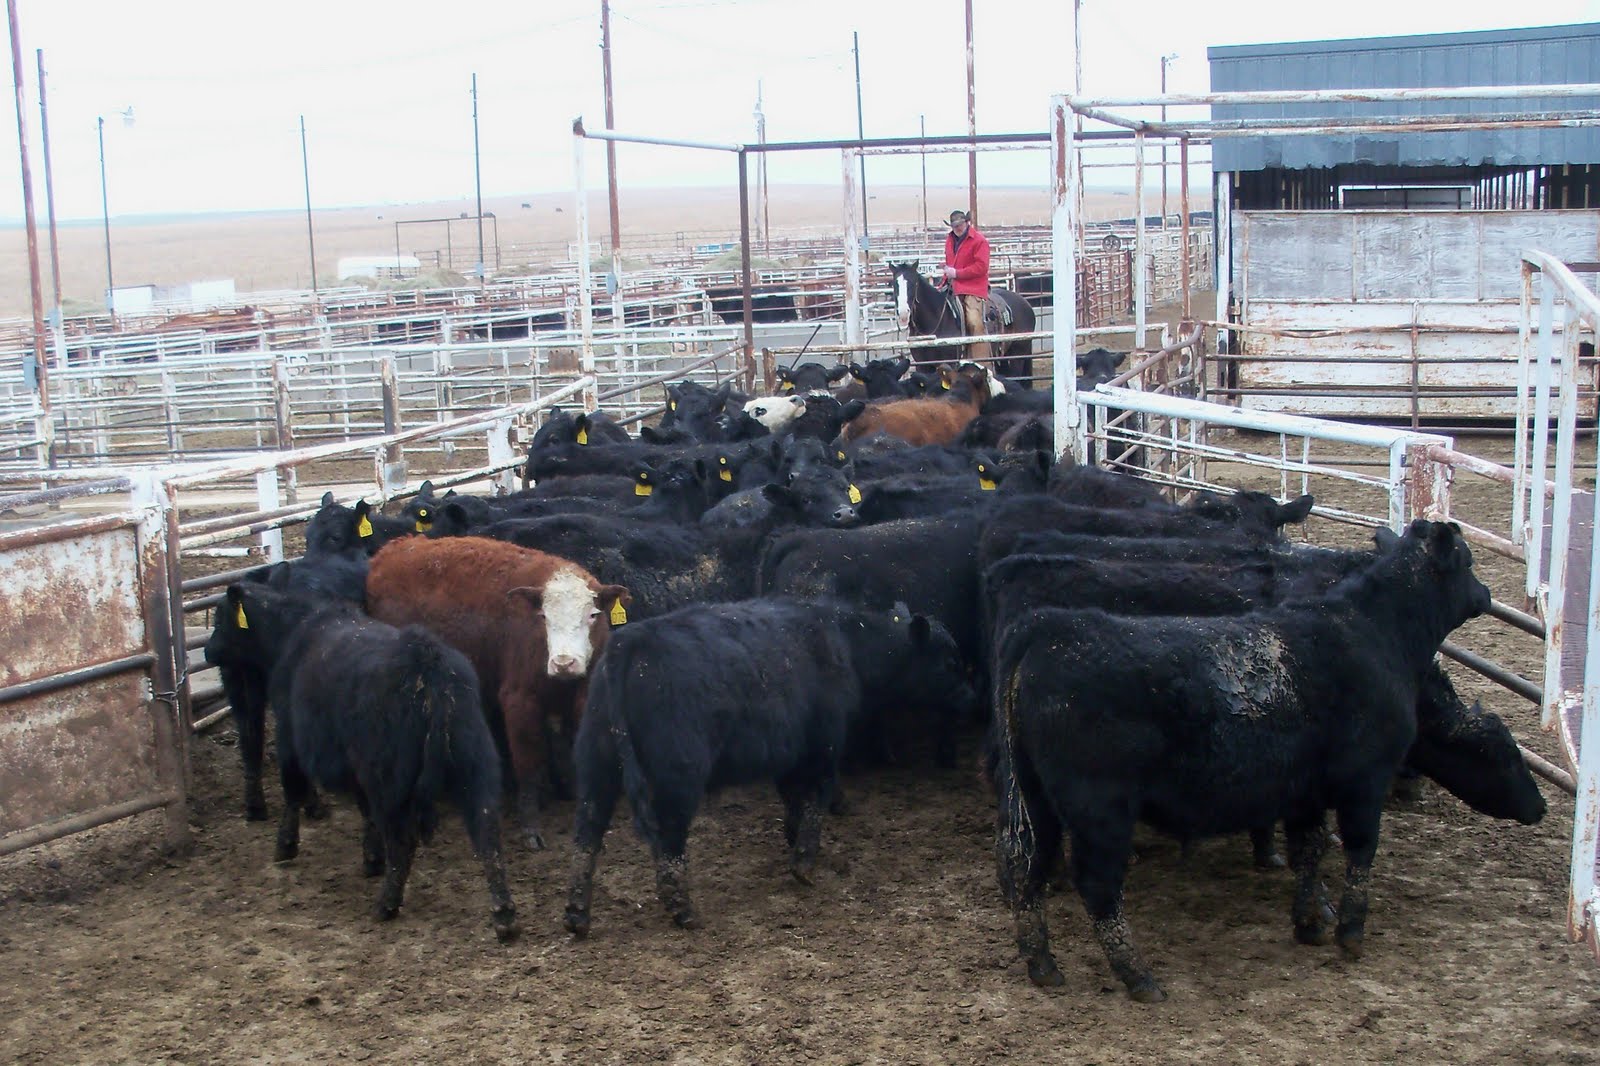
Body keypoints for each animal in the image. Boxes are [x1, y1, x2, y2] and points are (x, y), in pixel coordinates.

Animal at [205, 582, 517, 941]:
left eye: (219, 618)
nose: (207, 652)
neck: (293, 631)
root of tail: (428, 663)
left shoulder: (289, 737)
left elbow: (293, 791)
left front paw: (286, 845)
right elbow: (364, 812)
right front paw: (371, 858)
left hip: (389, 780)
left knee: (403, 840)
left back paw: (387, 904)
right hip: (473, 766)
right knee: (486, 832)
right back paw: (504, 915)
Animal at [366, 536, 630, 850]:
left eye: (592, 615)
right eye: (543, 616)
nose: (564, 662)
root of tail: (398, 545)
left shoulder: (583, 696)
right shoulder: (519, 700)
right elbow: (528, 762)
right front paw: (530, 826)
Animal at [562, 598, 976, 936]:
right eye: (951, 662)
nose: (973, 697)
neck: (845, 640)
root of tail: (630, 640)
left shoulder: (788, 752)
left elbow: (792, 798)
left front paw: (794, 837)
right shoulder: (823, 746)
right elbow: (816, 797)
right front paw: (804, 861)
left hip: (596, 768)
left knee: (587, 836)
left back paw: (577, 914)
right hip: (677, 777)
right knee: (669, 841)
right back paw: (682, 909)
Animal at [991, 519, 1491, 1000]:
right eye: (1466, 561)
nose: (1484, 594)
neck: (1375, 631)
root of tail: (1047, 630)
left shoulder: (1305, 792)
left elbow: (1309, 850)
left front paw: (1308, 924)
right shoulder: (1365, 781)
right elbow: (1359, 852)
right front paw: (1350, 931)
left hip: (1035, 796)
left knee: (1028, 864)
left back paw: (1042, 964)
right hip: (1099, 808)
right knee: (1096, 883)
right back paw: (1138, 976)